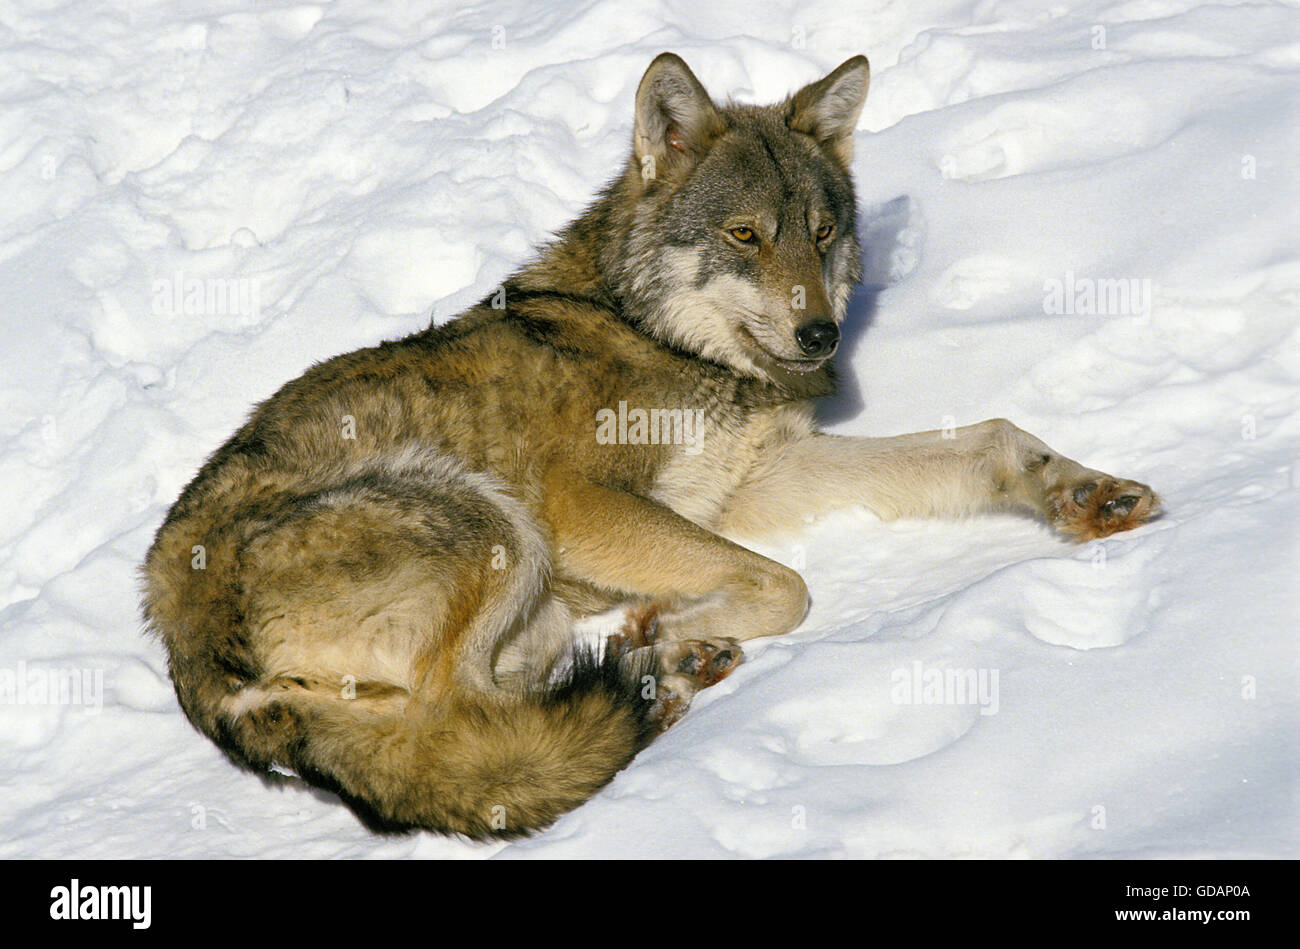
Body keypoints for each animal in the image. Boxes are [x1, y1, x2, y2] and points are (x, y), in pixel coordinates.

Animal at [141, 53, 1160, 839]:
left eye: (821, 232)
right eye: (745, 235)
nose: (821, 336)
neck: (668, 338)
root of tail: (180, 638)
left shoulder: (760, 475)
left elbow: (990, 438)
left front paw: (1086, 493)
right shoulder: (584, 501)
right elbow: (787, 583)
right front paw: (672, 624)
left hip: (522, 591)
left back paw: (667, 667)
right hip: (496, 524)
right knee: (459, 726)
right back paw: (664, 666)